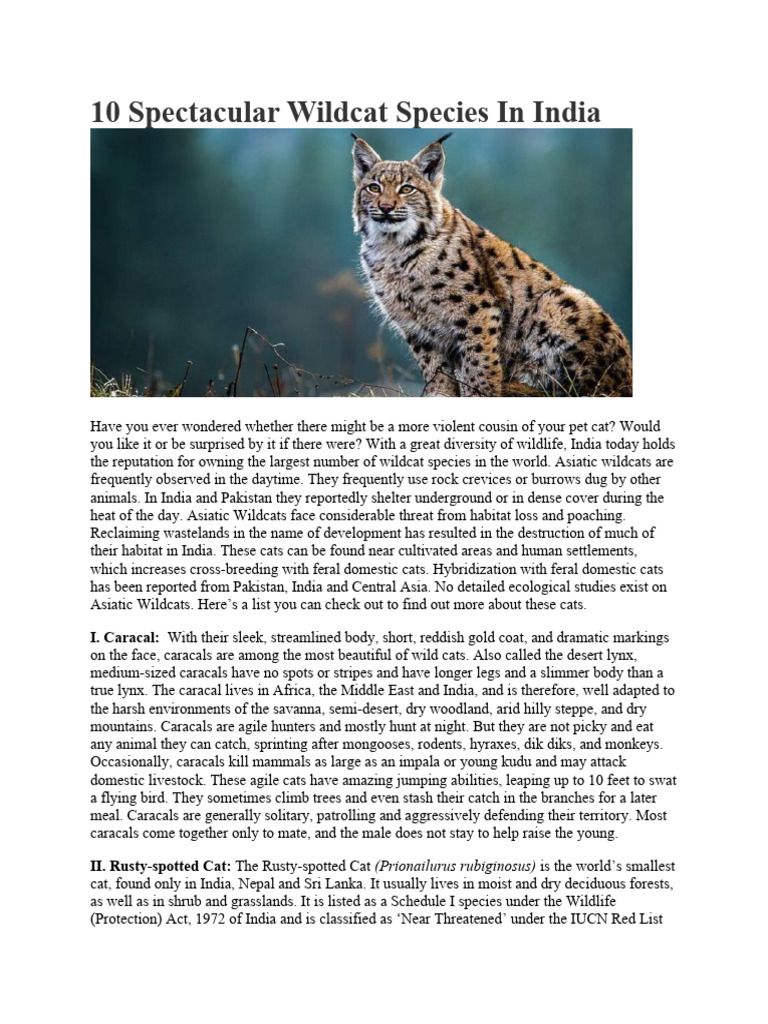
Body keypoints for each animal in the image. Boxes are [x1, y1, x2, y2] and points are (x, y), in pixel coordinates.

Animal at [351, 134, 632, 397]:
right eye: (374, 188)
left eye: (407, 189)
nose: (385, 207)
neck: (393, 247)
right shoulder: (413, 323)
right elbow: (433, 365)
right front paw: (440, 394)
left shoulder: (477, 309)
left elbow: (479, 359)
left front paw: (480, 393)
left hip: (560, 299)